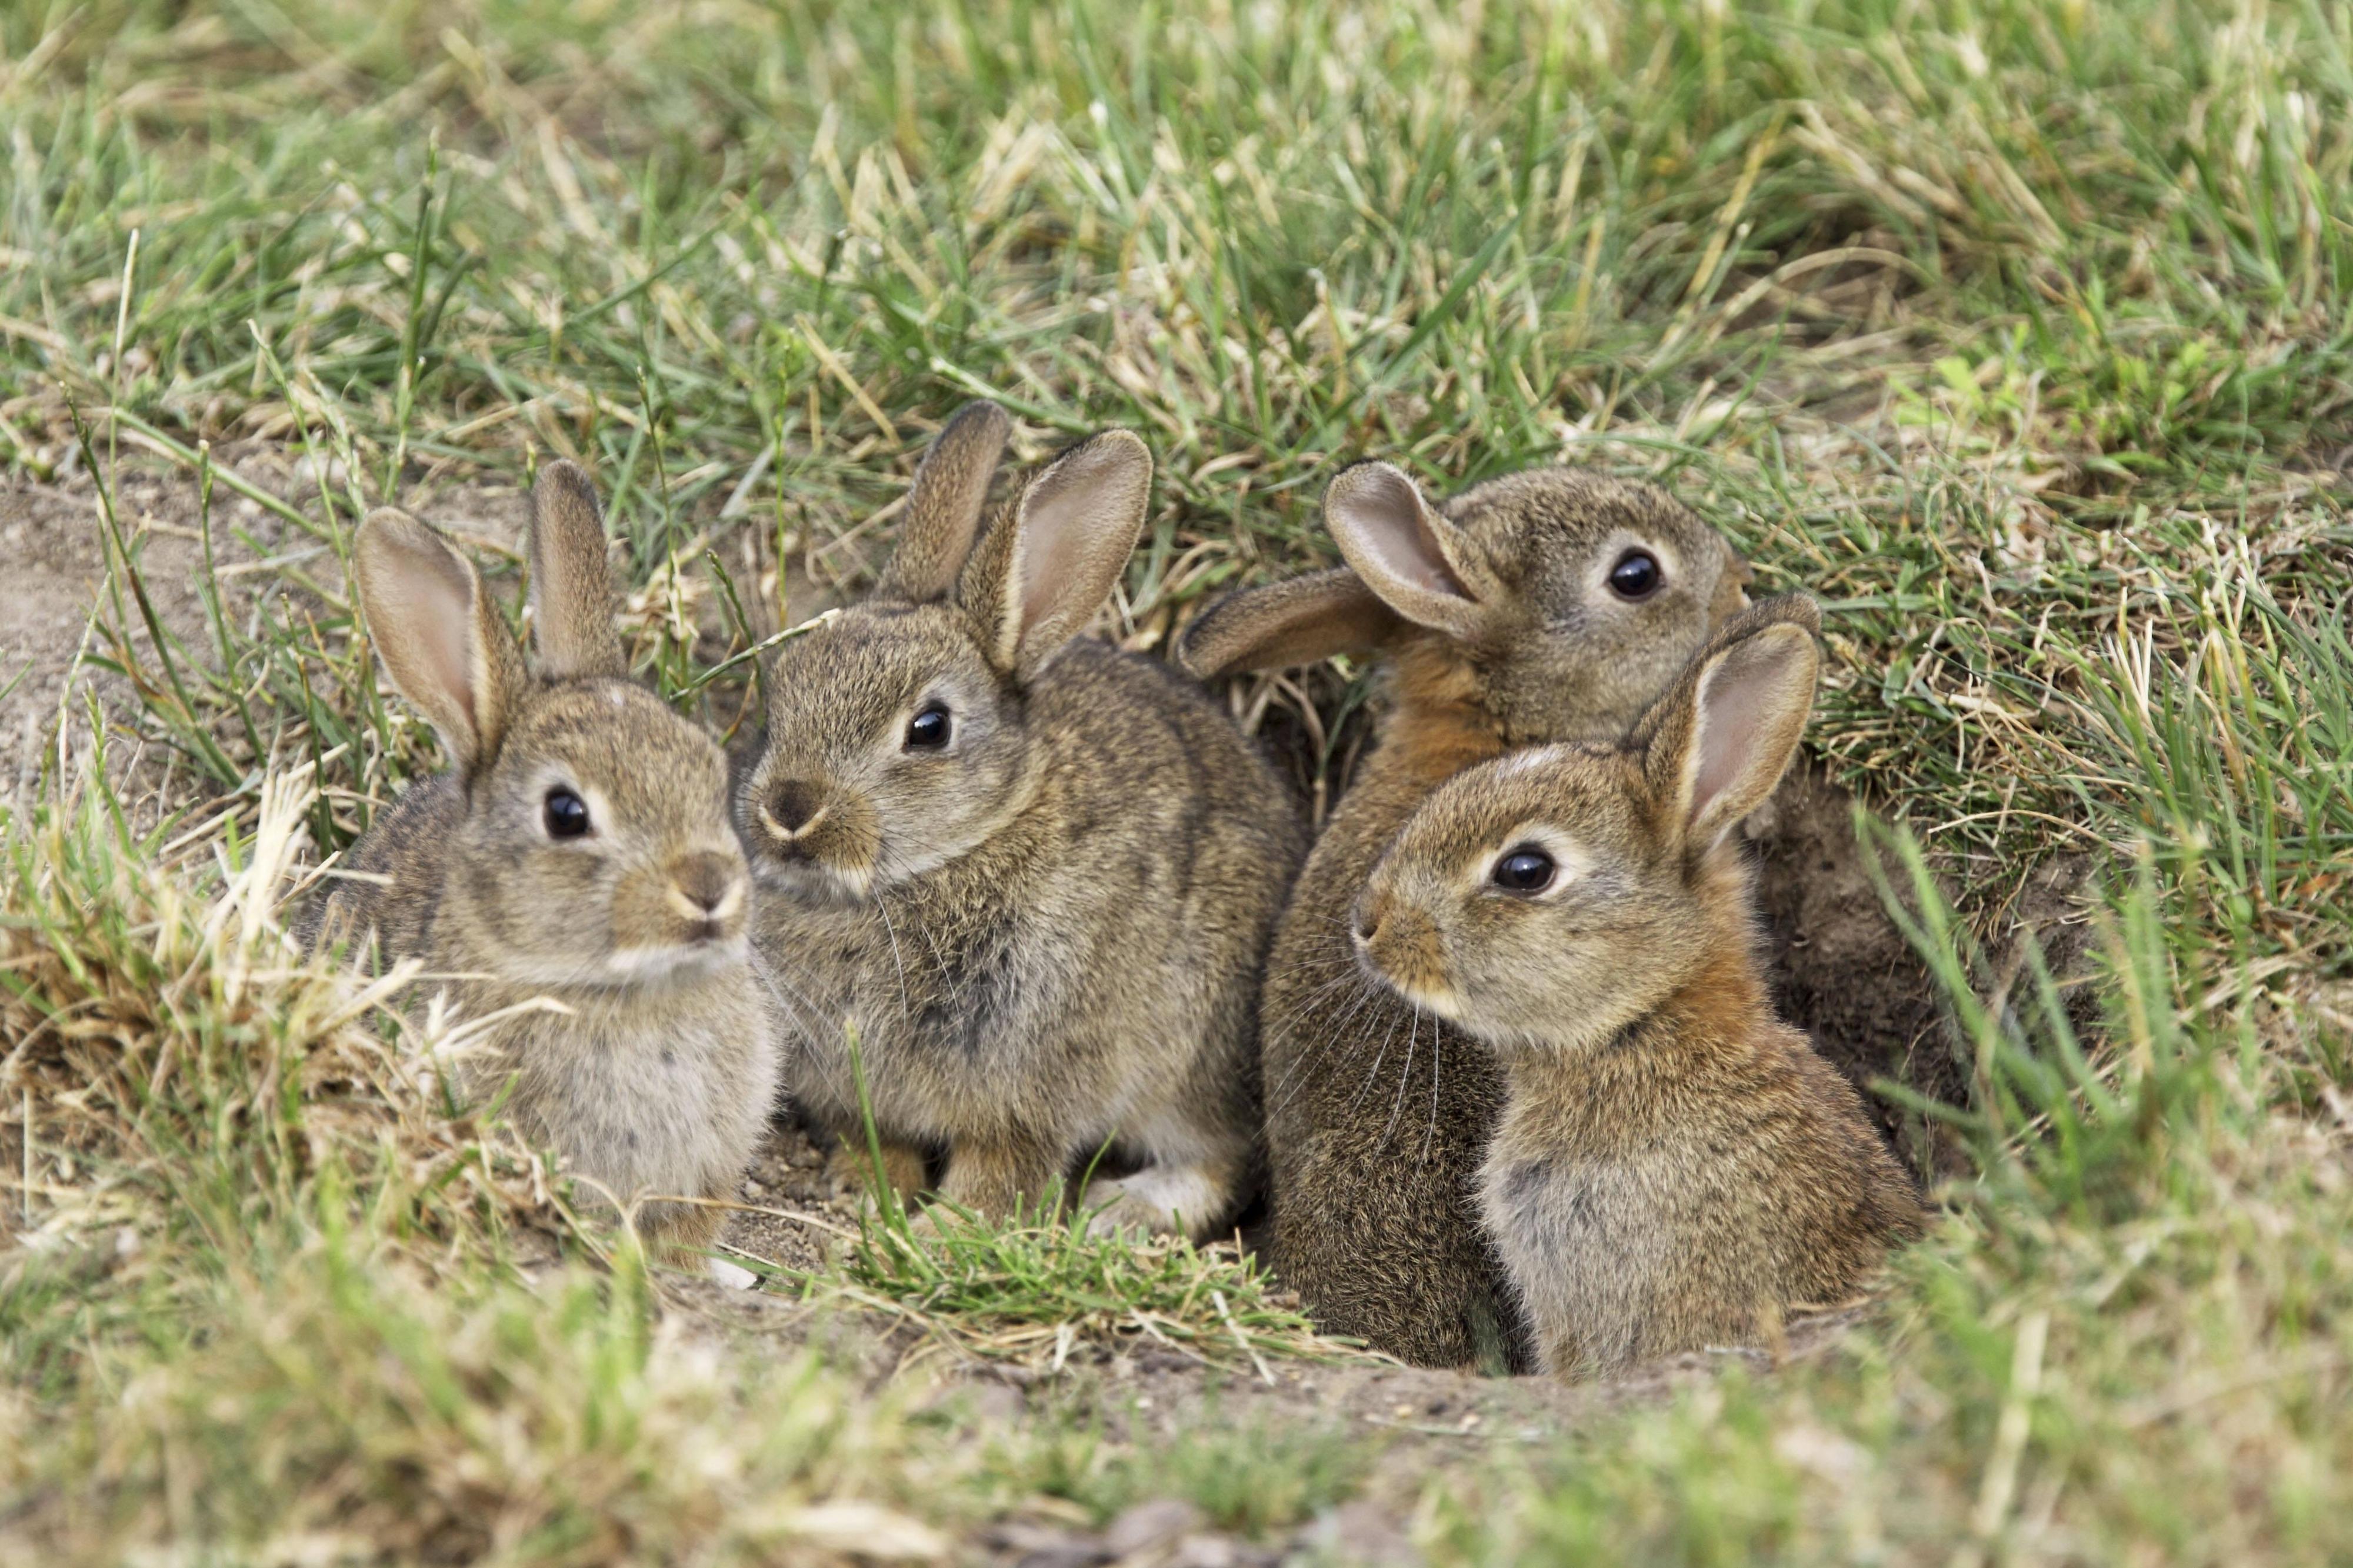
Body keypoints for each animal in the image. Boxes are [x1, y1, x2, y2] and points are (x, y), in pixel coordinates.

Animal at [733, 402, 1305, 1239]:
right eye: (782, 691)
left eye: (929, 728)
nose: (788, 811)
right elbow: (881, 1141)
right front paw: (866, 1193)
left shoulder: (1031, 1078)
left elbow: (1002, 1169)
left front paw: (941, 1232)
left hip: (1198, 1050)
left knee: (1226, 1159)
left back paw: (1122, 1209)